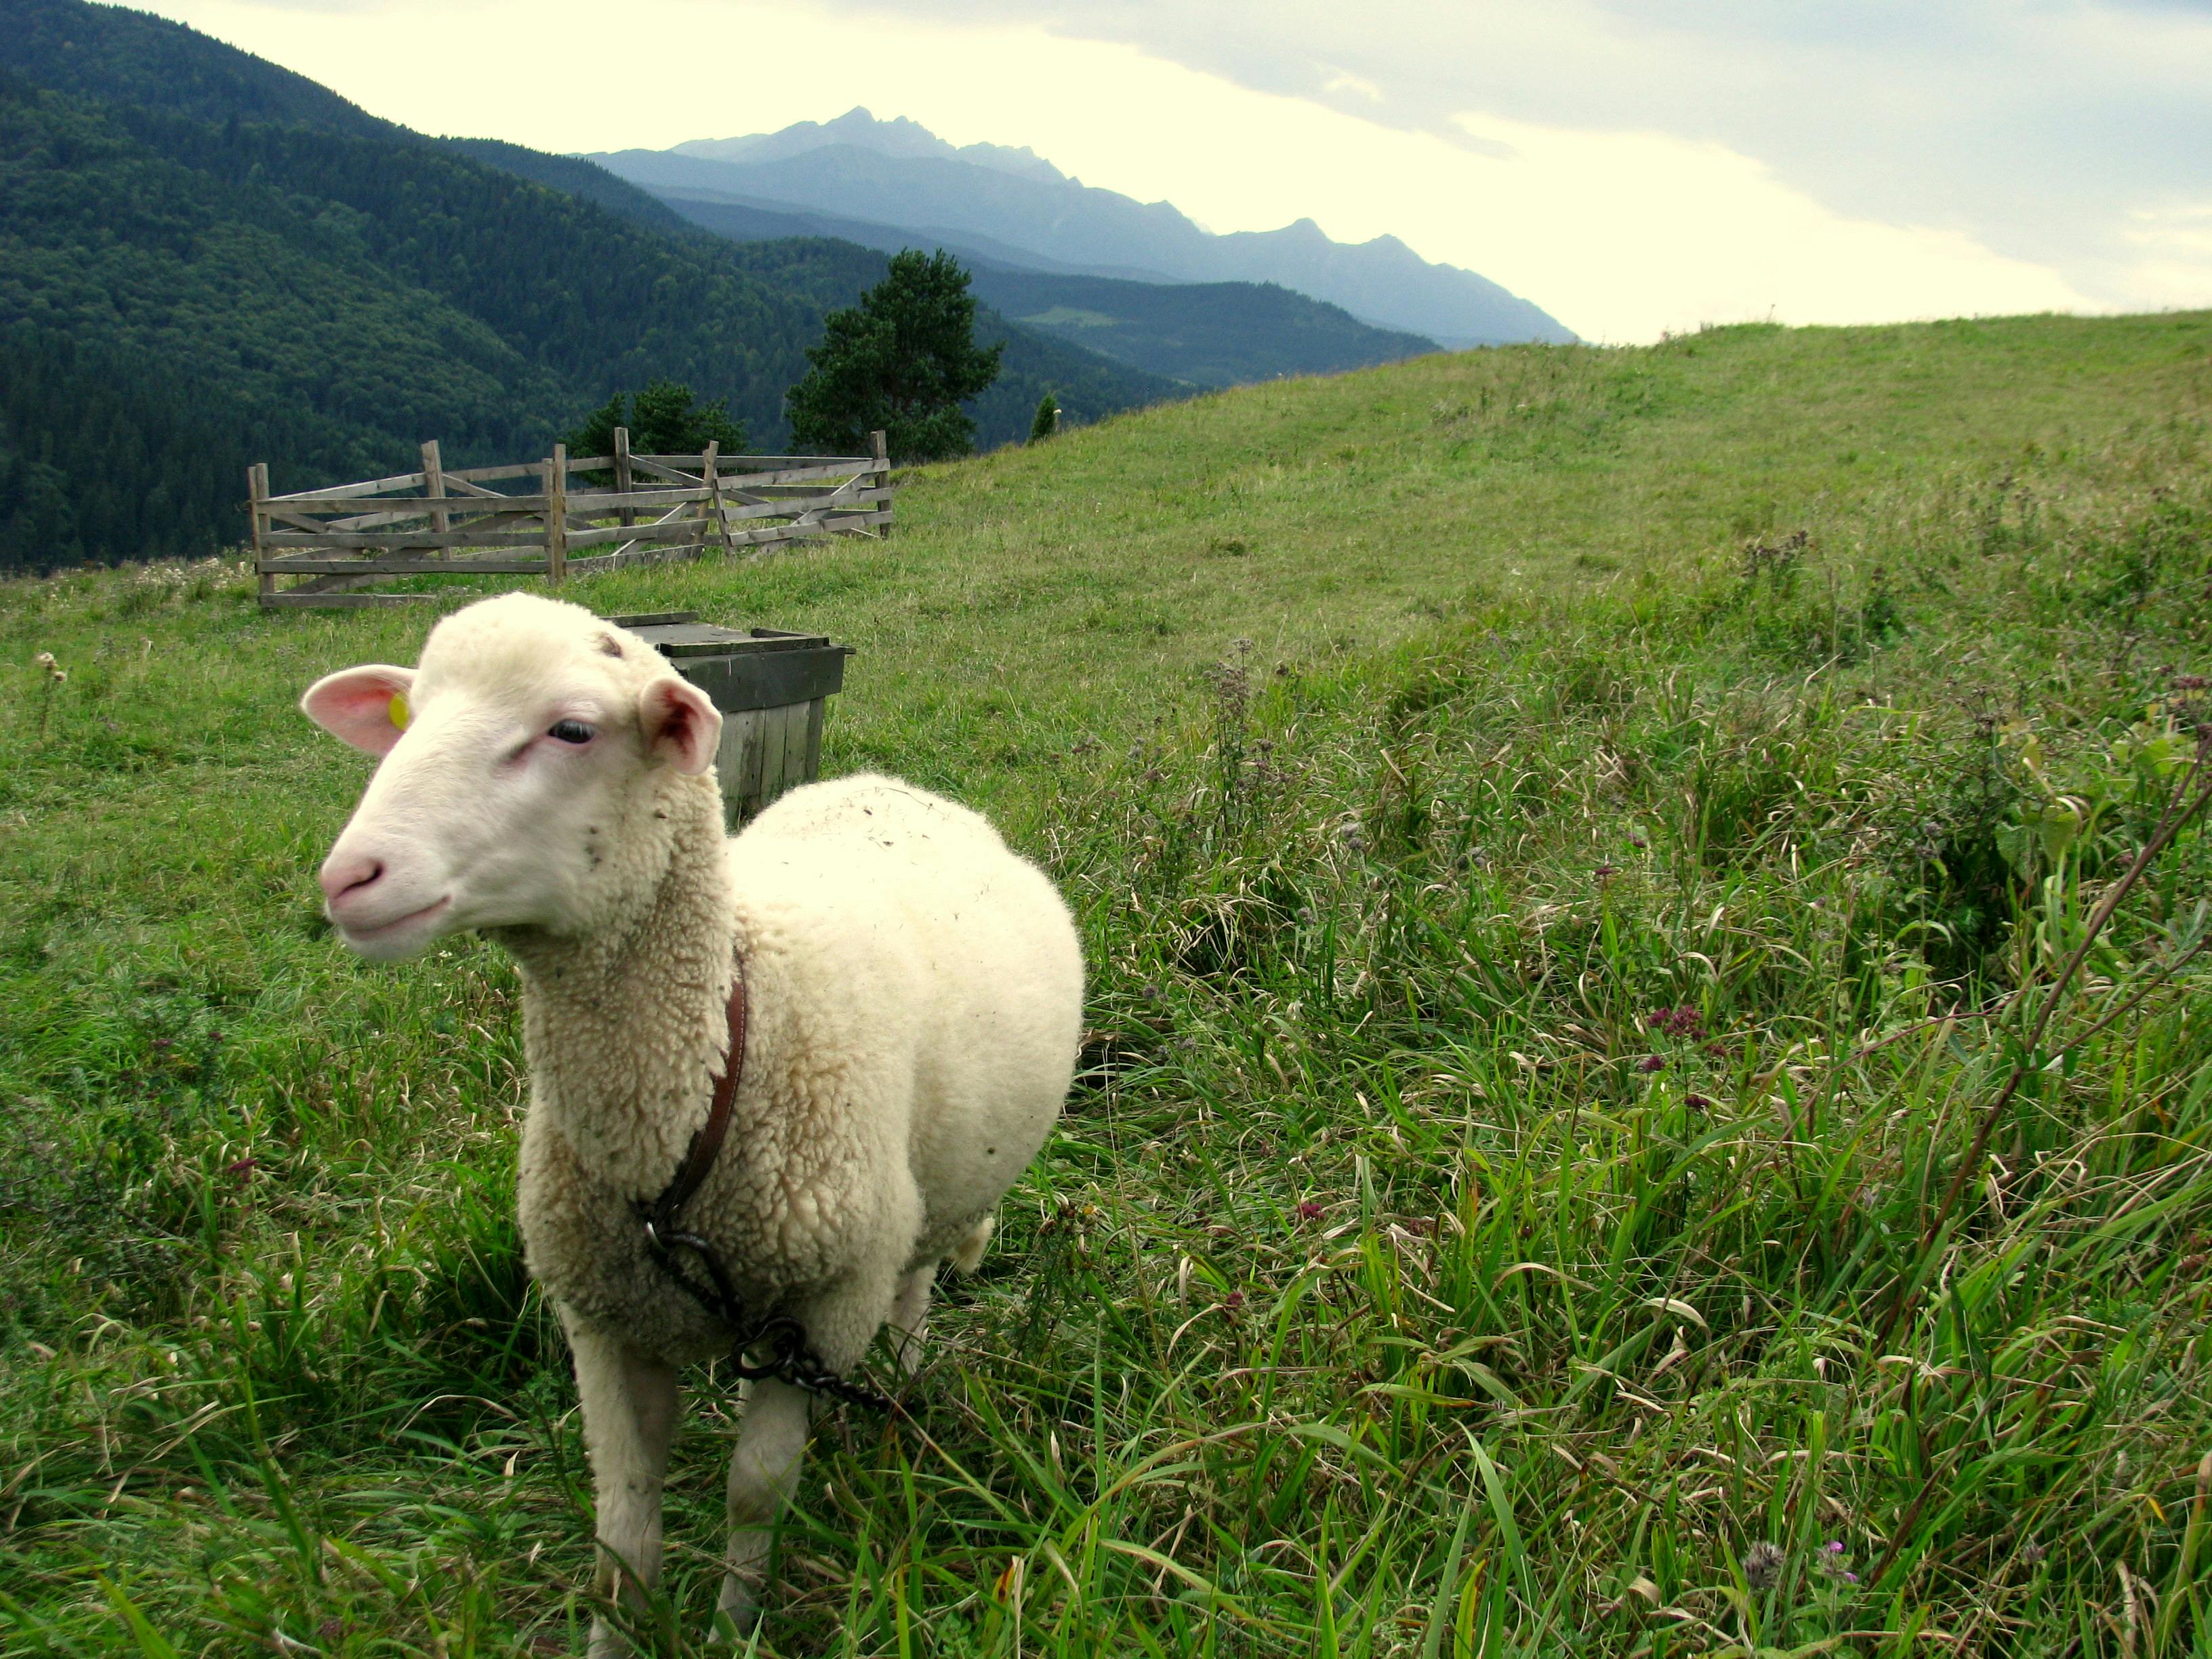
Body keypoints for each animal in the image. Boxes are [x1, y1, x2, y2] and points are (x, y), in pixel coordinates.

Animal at [300, 592, 1084, 1648]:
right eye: (410, 716)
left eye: (573, 730)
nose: (350, 878)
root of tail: (892, 786)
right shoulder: (603, 1321)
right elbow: (623, 1519)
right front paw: (616, 1636)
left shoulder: (816, 1310)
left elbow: (755, 1492)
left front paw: (733, 1628)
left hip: (926, 1206)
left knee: (914, 1291)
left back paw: (897, 1396)